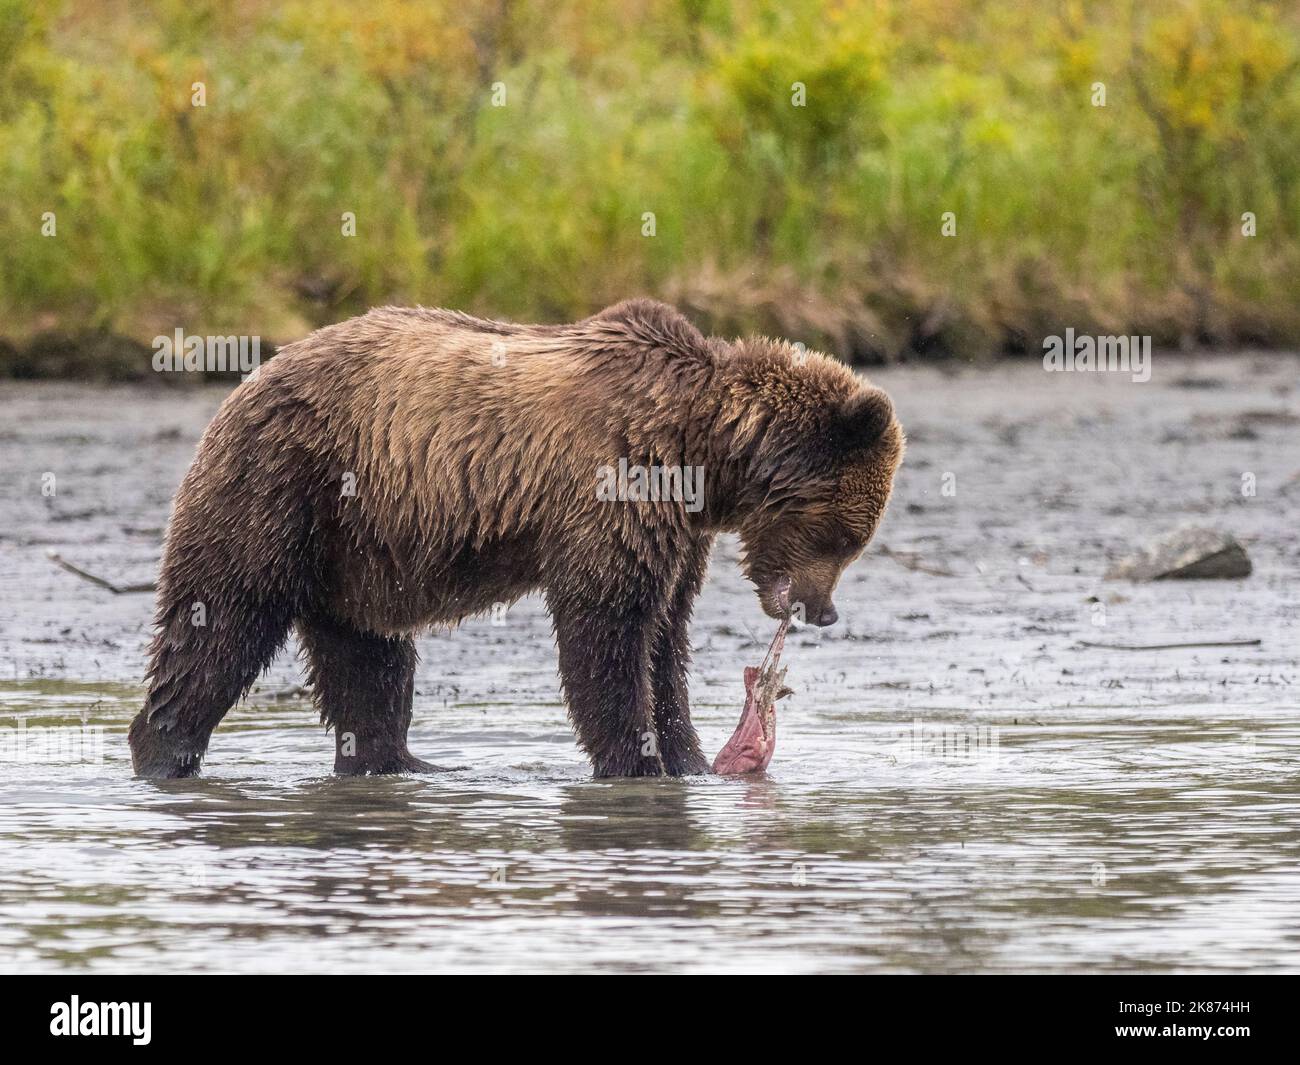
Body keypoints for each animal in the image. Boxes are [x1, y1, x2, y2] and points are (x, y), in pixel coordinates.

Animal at [128, 299, 904, 779]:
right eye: (845, 535)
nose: (821, 610)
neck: (702, 452)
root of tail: (251, 376)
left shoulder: (677, 532)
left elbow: (666, 638)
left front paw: (686, 759)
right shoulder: (614, 487)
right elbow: (611, 628)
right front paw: (638, 764)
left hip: (356, 546)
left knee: (368, 656)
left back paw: (400, 761)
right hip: (281, 487)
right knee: (223, 619)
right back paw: (164, 750)